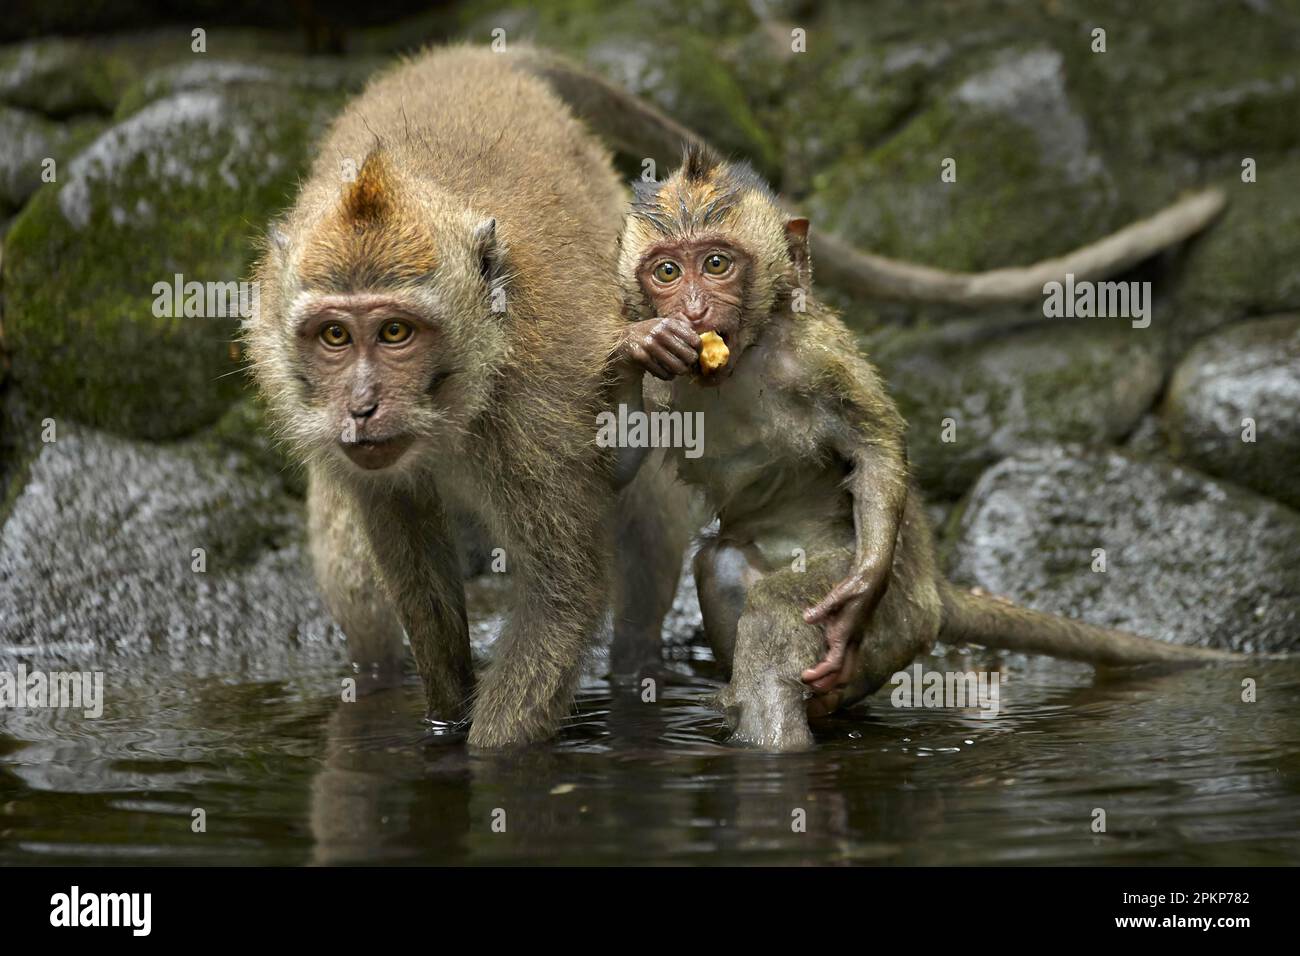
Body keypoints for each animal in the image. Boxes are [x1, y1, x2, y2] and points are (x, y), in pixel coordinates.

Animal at [246, 46, 689, 749]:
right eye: (335, 335)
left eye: (395, 332)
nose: (362, 406)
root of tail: (473, 54)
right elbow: (410, 560)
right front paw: (443, 721)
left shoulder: (536, 412)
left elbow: (560, 592)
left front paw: (481, 755)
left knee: (643, 504)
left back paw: (636, 667)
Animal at [616, 145, 1237, 752]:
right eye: (667, 271)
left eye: (716, 264)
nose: (693, 311)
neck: (739, 362)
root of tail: (933, 592)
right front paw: (641, 343)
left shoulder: (817, 355)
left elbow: (874, 444)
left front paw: (862, 586)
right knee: (720, 563)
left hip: (895, 618)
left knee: (779, 609)